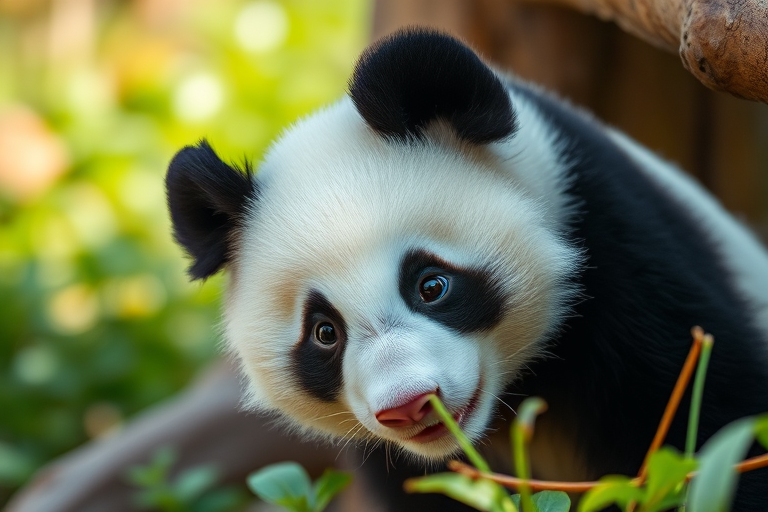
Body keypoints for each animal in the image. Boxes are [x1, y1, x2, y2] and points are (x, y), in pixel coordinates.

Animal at [166, 29, 768, 510]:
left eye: (431, 285)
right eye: (324, 333)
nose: (408, 406)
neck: (520, 394)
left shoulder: (623, 260)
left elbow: (722, 423)